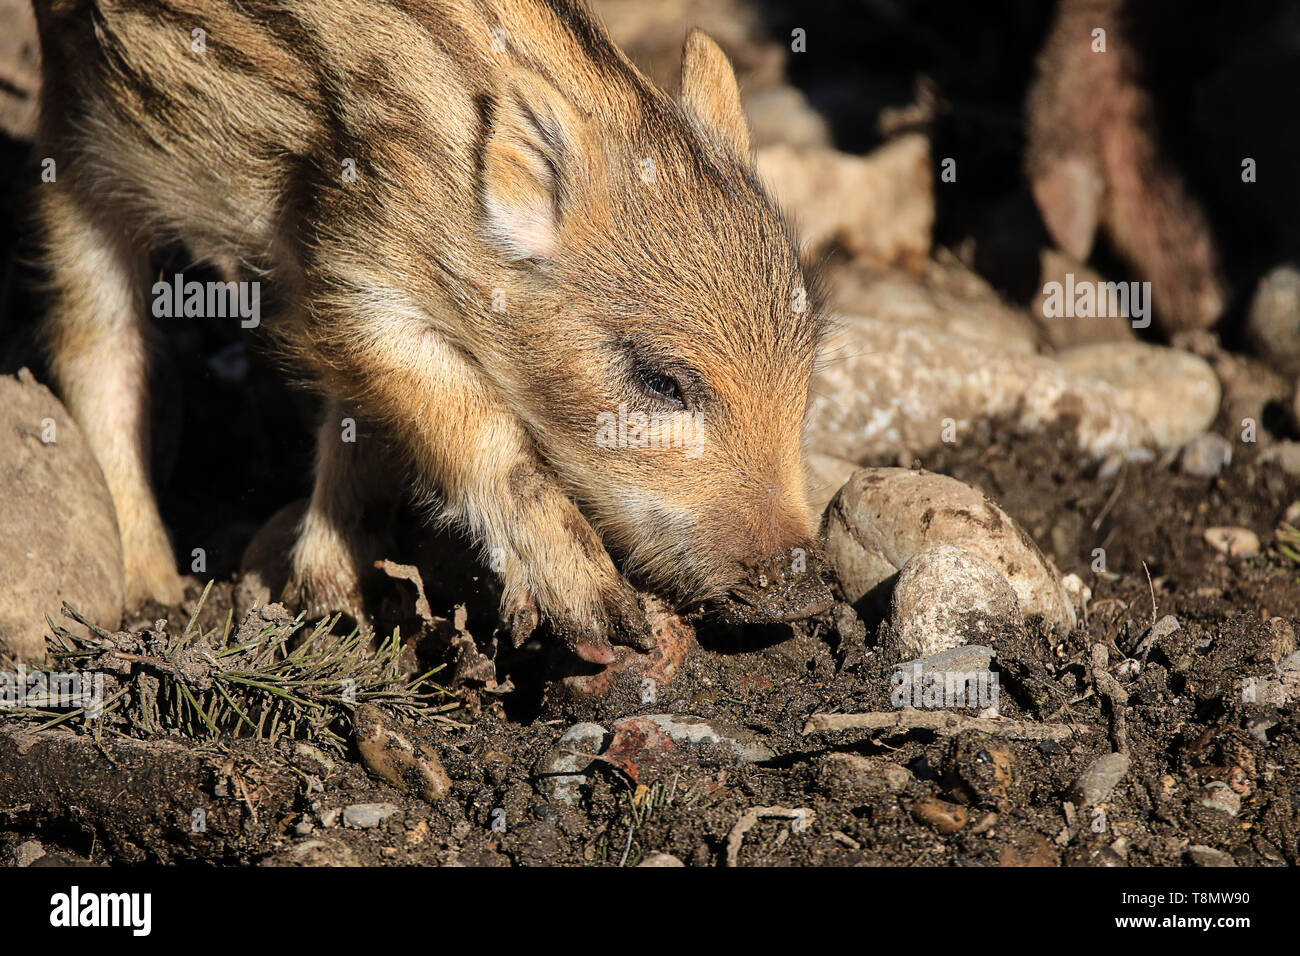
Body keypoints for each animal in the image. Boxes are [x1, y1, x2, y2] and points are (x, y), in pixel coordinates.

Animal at [30, 0, 829, 663]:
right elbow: (479, 430)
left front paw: (333, 602)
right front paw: (605, 617)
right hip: (77, 137)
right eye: (659, 380)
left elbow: (365, 431)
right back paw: (152, 593)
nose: (808, 593)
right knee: (100, 350)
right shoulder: (357, 277)